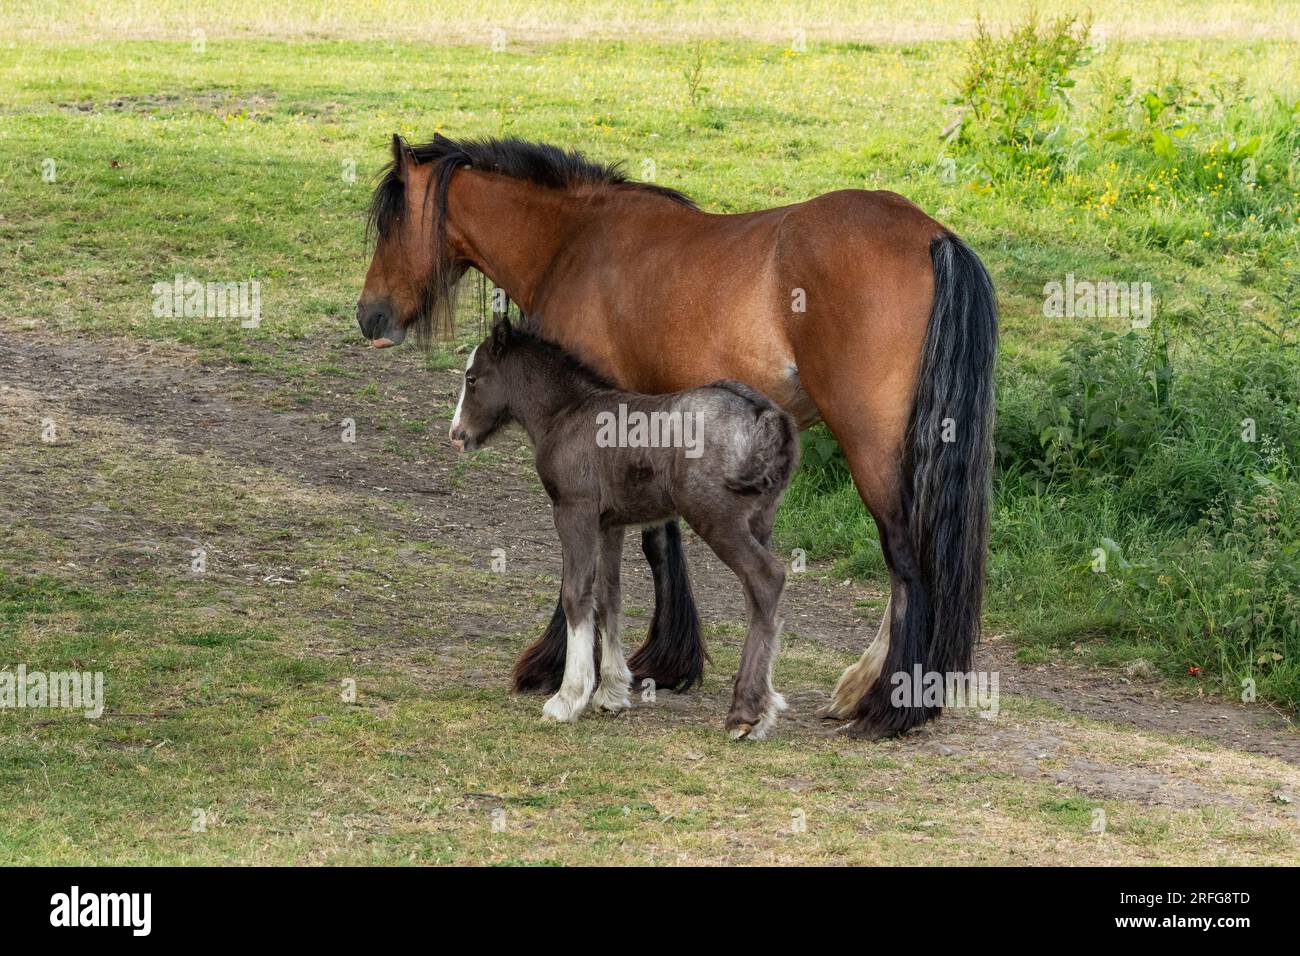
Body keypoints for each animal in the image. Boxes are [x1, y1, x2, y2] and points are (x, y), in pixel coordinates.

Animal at [449, 318, 799, 737]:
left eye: (472, 378)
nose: (457, 435)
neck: (565, 413)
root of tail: (766, 414)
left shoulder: (574, 511)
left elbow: (576, 595)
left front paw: (568, 698)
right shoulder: (610, 524)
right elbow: (609, 596)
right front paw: (612, 693)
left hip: (717, 518)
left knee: (767, 577)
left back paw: (744, 713)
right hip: (760, 521)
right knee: (758, 599)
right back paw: (763, 707)